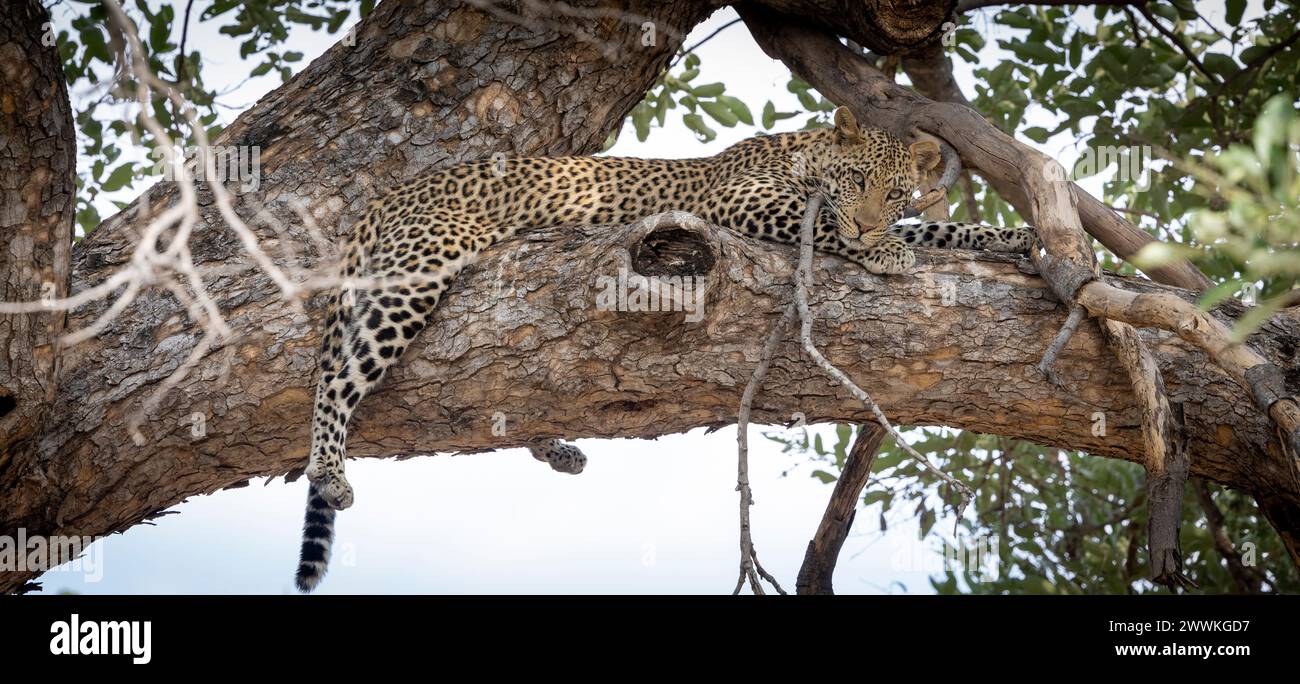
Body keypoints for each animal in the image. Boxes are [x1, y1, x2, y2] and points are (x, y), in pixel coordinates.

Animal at [293, 106, 1034, 592]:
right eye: (855, 182)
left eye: (896, 190)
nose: (867, 223)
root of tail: (391, 195)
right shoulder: (742, 203)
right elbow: (839, 226)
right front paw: (884, 249)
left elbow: (937, 231)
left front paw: (1013, 239)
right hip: (417, 272)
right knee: (334, 376)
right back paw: (329, 471)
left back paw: (557, 448)